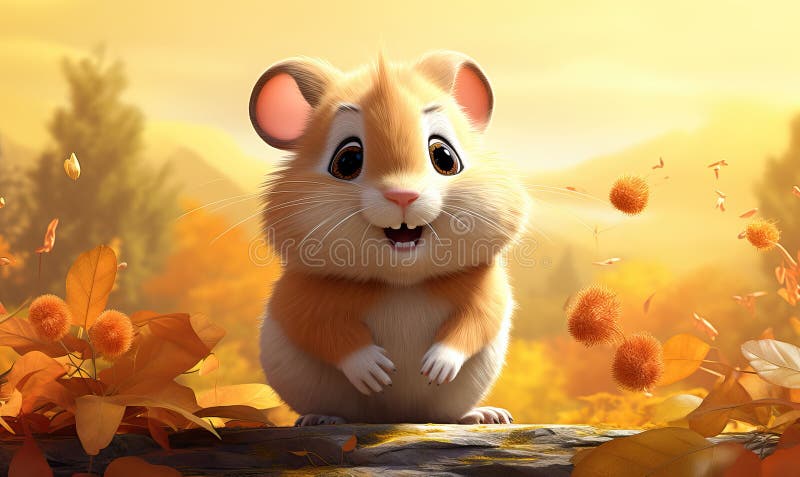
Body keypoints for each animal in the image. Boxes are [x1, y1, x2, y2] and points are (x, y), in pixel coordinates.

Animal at [250, 51, 530, 425]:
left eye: (445, 157)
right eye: (347, 160)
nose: (402, 196)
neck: (402, 281)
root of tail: (399, 416)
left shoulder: (485, 290)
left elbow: (474, 323)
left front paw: (435, 368)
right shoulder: (299, 297)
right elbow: (325, 331)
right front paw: (378, 372)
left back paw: (485, 415)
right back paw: (320, 418)